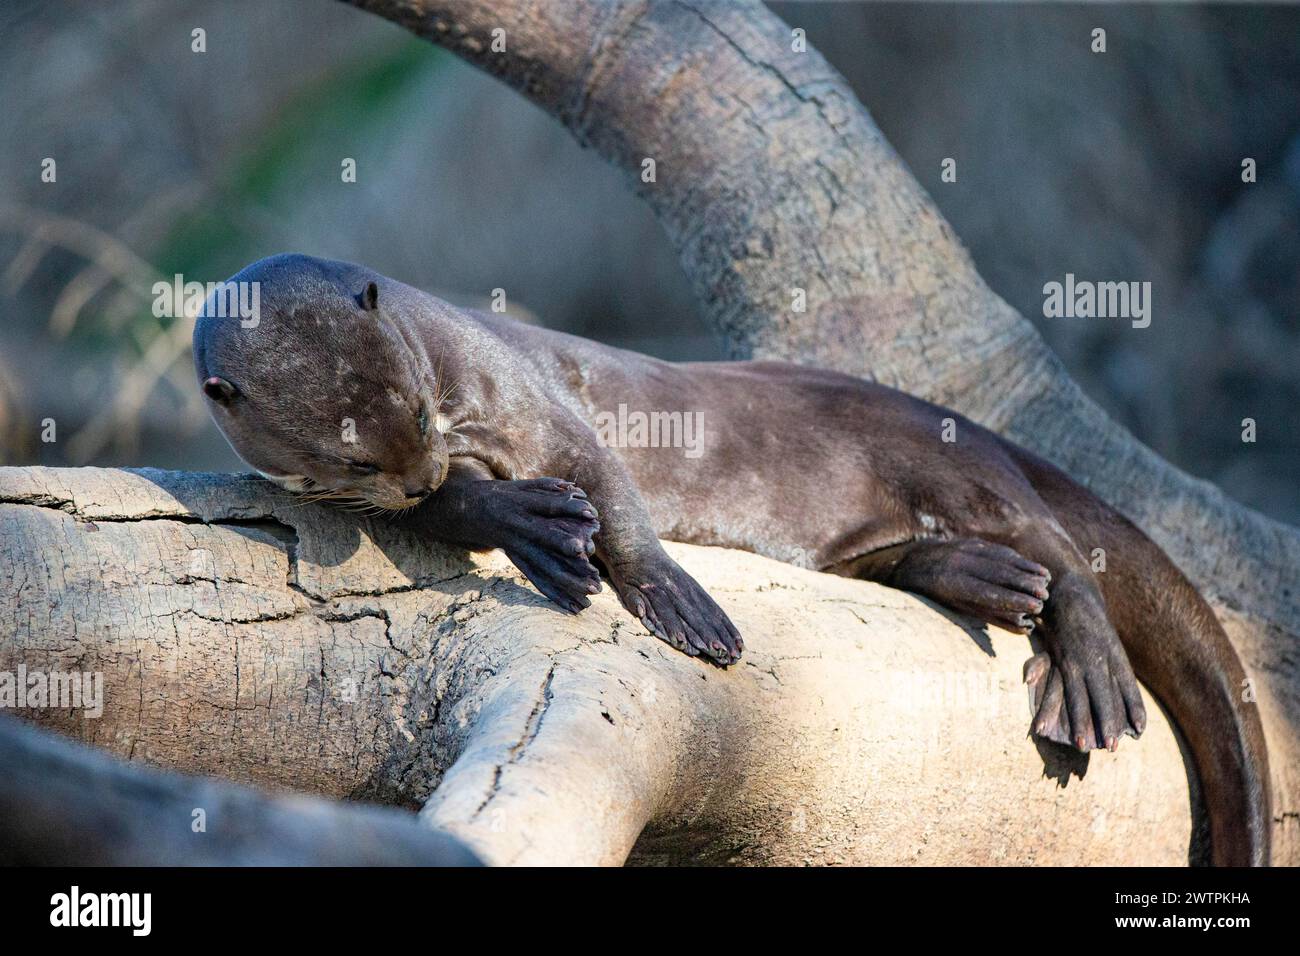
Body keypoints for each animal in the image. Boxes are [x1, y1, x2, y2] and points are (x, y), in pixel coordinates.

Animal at [194, 253, 1269, 866]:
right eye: (353, 456)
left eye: (417, 408)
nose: (415, 468)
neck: (437, 350)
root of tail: (964, 419)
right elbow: (460, 502)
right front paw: (530, 526)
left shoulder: (517, 382)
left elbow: (601, 473)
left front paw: (682, 607)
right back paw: (991, 585)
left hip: (954, 463)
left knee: (1066, 555)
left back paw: (1084, 666)